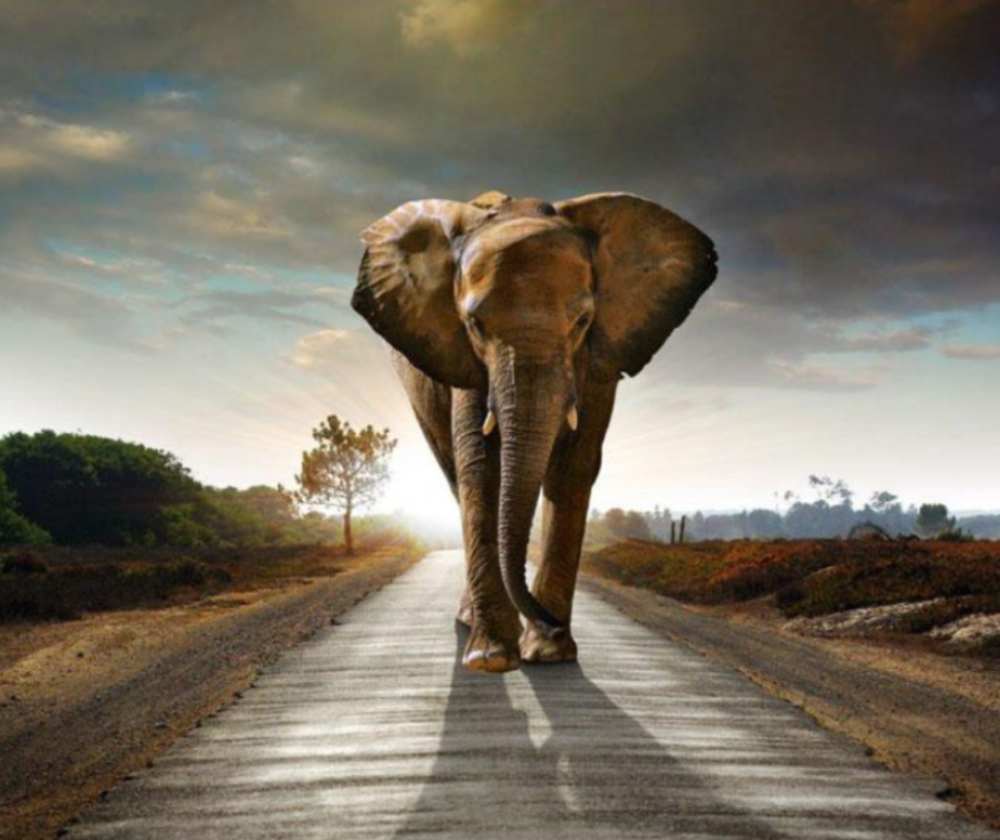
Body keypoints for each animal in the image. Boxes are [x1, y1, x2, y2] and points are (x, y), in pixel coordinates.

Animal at [351, 190, 716, 673]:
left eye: (582, 322)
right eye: (475, 325)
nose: (549, 621)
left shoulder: (598, 360)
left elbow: (573, 468)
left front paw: (548, 653)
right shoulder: (463, 360)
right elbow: (481, 468)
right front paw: (491, 659)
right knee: (455, 476)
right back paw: (471, 623)